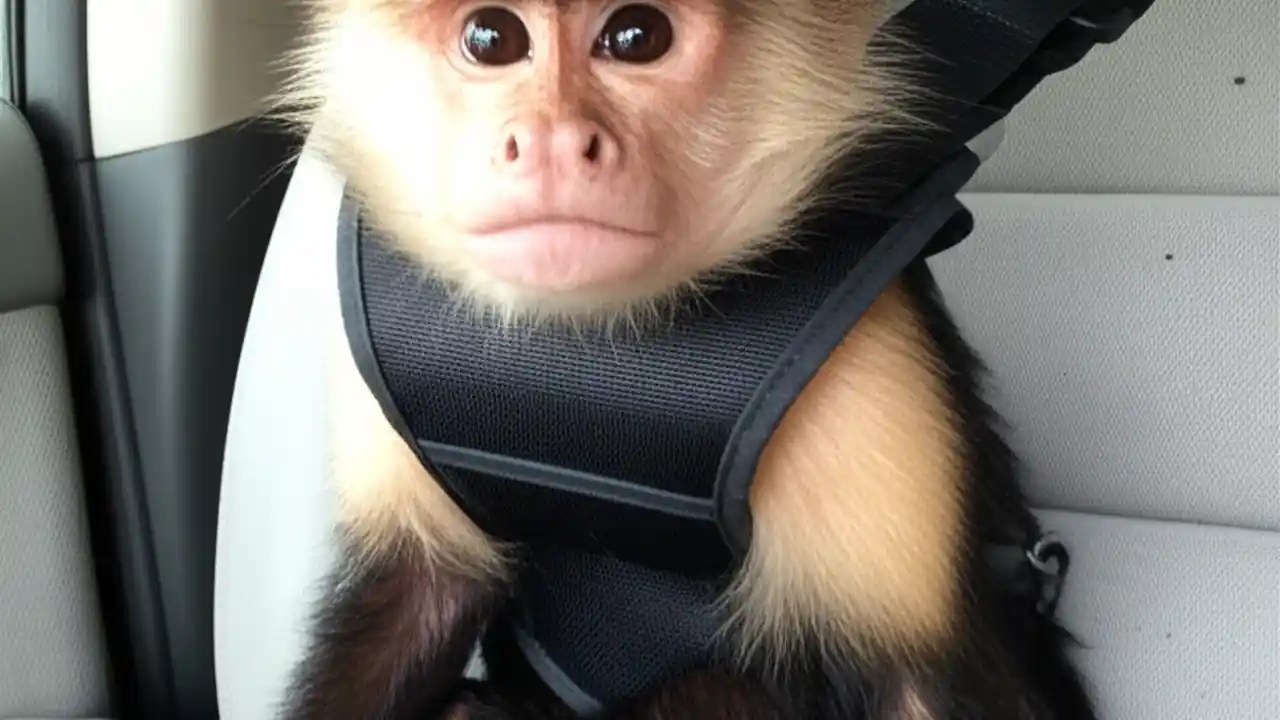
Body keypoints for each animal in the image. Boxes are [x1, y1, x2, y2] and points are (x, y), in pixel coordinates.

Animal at [267, 0, 1099, 718]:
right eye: (491, 38)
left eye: (637, 36)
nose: (550, 142)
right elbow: (419, 599)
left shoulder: (871, 360)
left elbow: (931, 690)